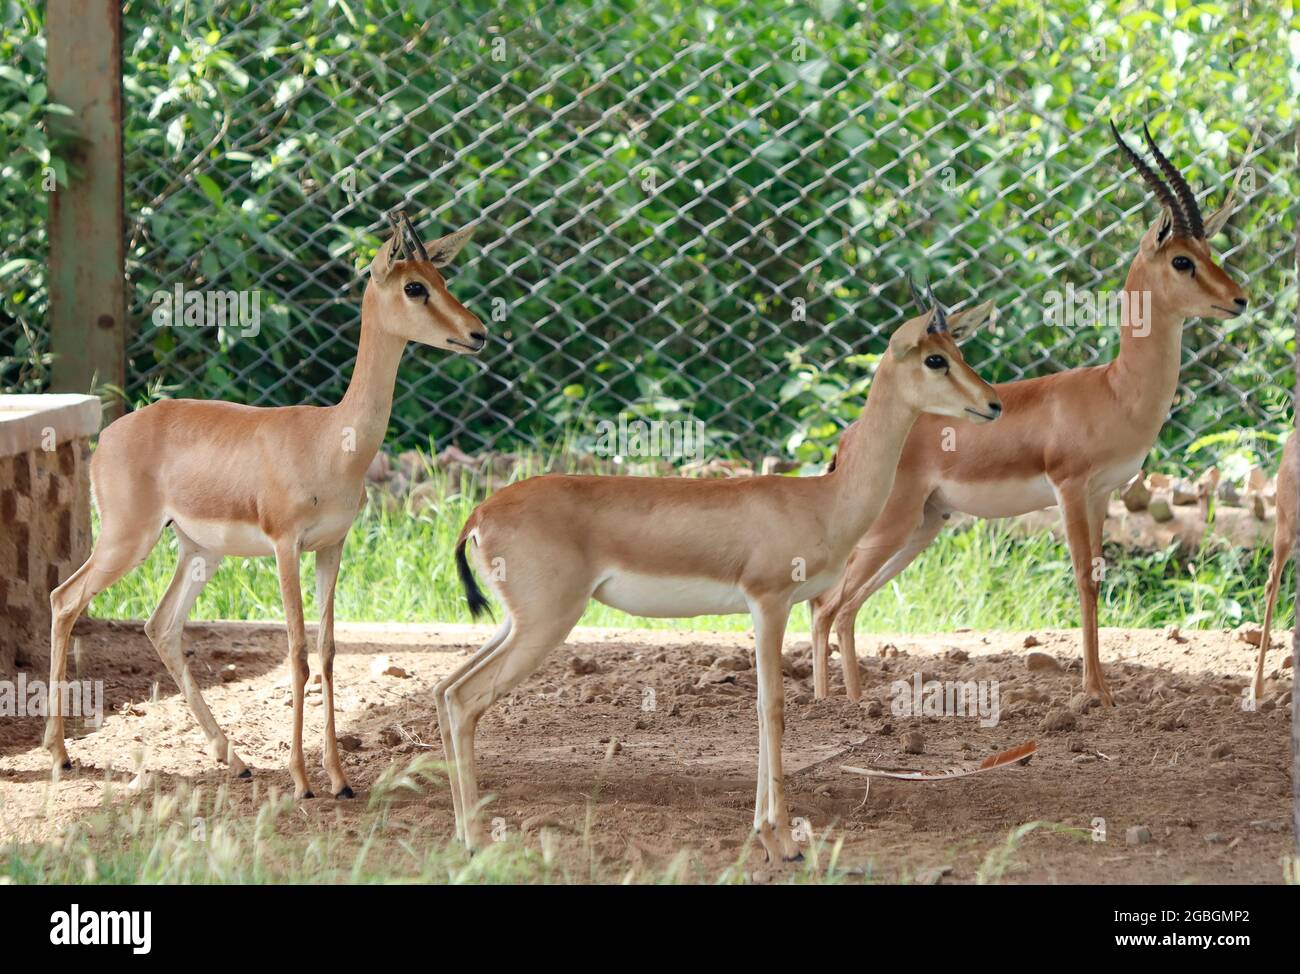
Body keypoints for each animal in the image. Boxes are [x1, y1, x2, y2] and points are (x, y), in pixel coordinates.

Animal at [44, 211, 484, 800]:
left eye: (442, 277)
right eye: (415, 286)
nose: (478, 333)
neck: (331, 440)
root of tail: (109, 435)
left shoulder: (331, 547)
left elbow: (327, 650)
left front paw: (340, 779)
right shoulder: (284, 546)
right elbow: (295, 653)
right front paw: (301, 779)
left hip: (198, 552)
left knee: (161, 626)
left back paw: (236, 761)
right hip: (127, 542)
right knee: (64, 599)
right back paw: (59, 755)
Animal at [439, 289, 1001, 859]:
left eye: (958, 349)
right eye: (936, 359)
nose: (993, 403)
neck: (822, 500)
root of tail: (480, 514)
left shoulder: (765, 609)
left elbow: (759, 708)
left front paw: (763, 831)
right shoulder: (770, 601)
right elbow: (773, 708)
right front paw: (783, 841)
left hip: (515, 623)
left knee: (445, 688)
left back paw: (464, 832)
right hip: (547, 622)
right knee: (464, 699)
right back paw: (477, 840)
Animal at [808, 123, 1250, 706]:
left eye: (1209, 249)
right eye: (1182, 260)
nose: (1240, 298)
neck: (1115, 390)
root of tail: (850, 439)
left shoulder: (1103, 493)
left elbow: (1097, 579)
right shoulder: (1070, 487)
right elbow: (1084, 579)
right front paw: (1095, 692)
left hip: (919, 529)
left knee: (846, 607)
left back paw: (855, 702)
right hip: (889, 526)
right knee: (824, 605)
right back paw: (828, 704)